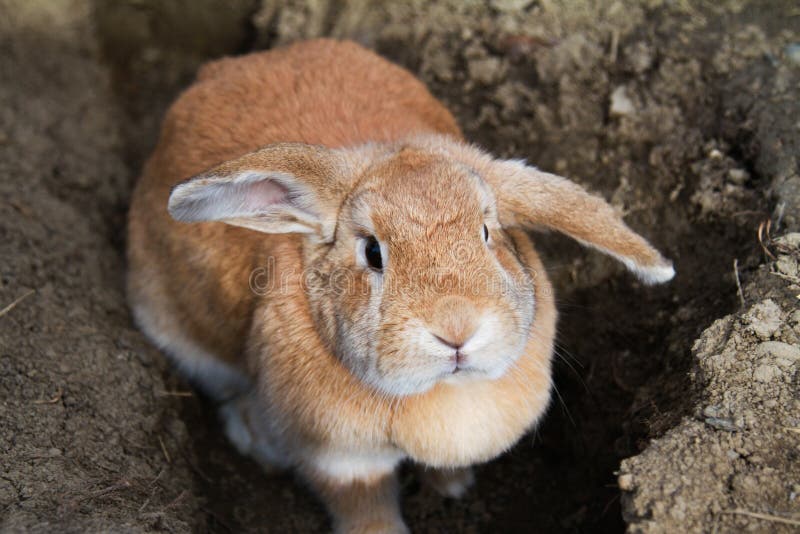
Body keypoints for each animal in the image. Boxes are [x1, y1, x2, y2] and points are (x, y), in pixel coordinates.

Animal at [127, 39, 674, 533]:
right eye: (373, 252)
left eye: (487, 232)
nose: (456, 329)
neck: (446, 392)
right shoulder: (342, 459)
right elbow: (364, 507)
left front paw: (454, 486)